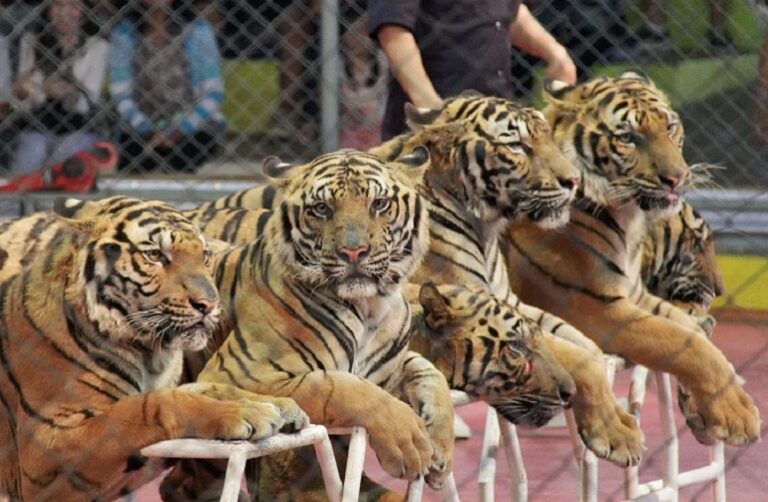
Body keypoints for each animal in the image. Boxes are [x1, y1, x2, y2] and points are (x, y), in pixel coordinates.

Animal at [0, 196, 308, 501]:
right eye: (156, 255)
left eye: (204, 256)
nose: (209, 305)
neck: (149, 353)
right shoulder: (43, 457)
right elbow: (149, 404)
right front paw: (246, 412)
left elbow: (199, 389)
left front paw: (275, 405)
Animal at [160, 149, 457, 500]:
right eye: (321, 209)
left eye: (379, 204)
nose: (353, 252)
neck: (369, 307)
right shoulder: (238, 371)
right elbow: (341, 385)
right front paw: (409, 443)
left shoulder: (389, 367)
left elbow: (430, 373)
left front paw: (441, 449)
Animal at [503, 70, 760, 447]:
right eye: (627, 138)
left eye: (670, 127)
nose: (677, 178)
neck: (627, 220)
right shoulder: (598, 308)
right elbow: (685, 344)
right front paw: (738, 415)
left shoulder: (635, 294)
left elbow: (695, 335)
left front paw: (705, 409)